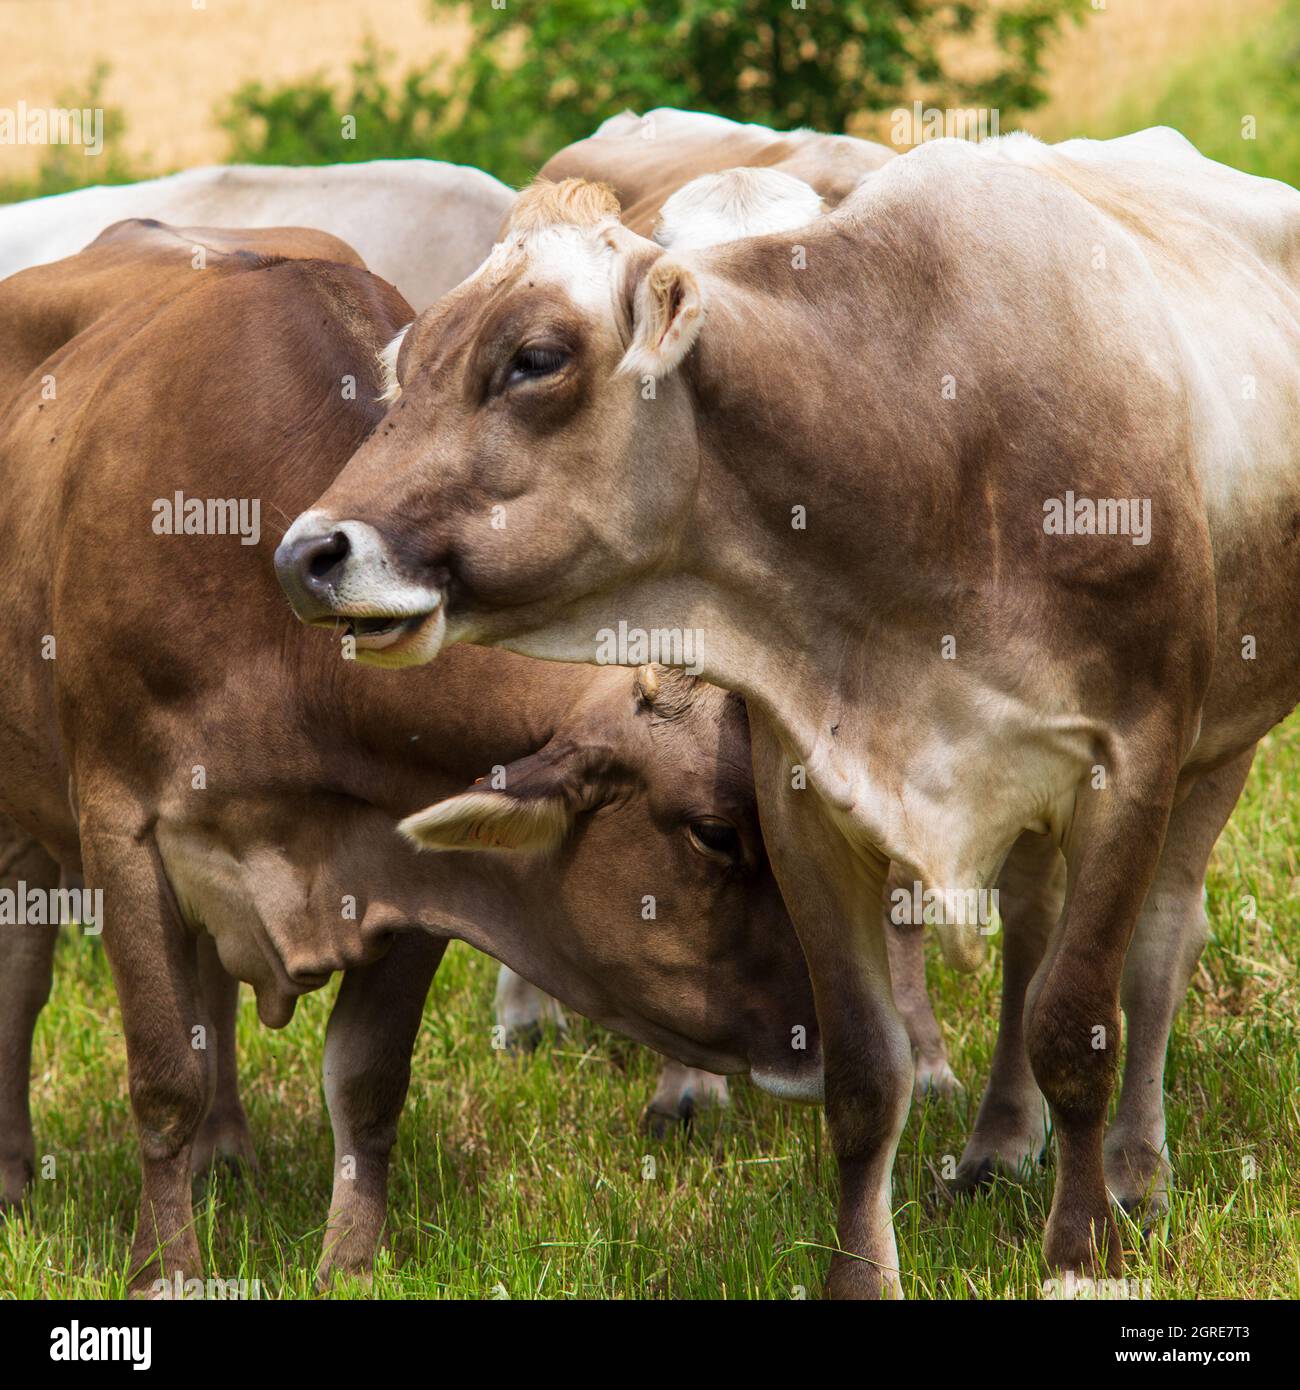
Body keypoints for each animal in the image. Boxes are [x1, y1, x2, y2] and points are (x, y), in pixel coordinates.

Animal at [0, 221, 822, 1295]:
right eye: (717, 834)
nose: (826, 1037)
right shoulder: (121, 828)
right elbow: (163, 1074)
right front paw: (166, 1270)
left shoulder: (412, 858)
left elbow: (366, 1080)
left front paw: (349, 1263)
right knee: (22, 979)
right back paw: (16, 1174)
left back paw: (229, 1154)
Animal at [275, 125, 1298, 1296]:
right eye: (406, 366)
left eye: (534, 359)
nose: (306, 553)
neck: (929, 448)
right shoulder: (806, 795)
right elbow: (863, 1072)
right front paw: (865, 1271)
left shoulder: (1128, 760)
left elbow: (1077, 1021)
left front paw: (1084, 1255)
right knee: (1031, 932)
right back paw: (999, 1140)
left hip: (1217, 747)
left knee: (1158, 950)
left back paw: (1134, 1170)